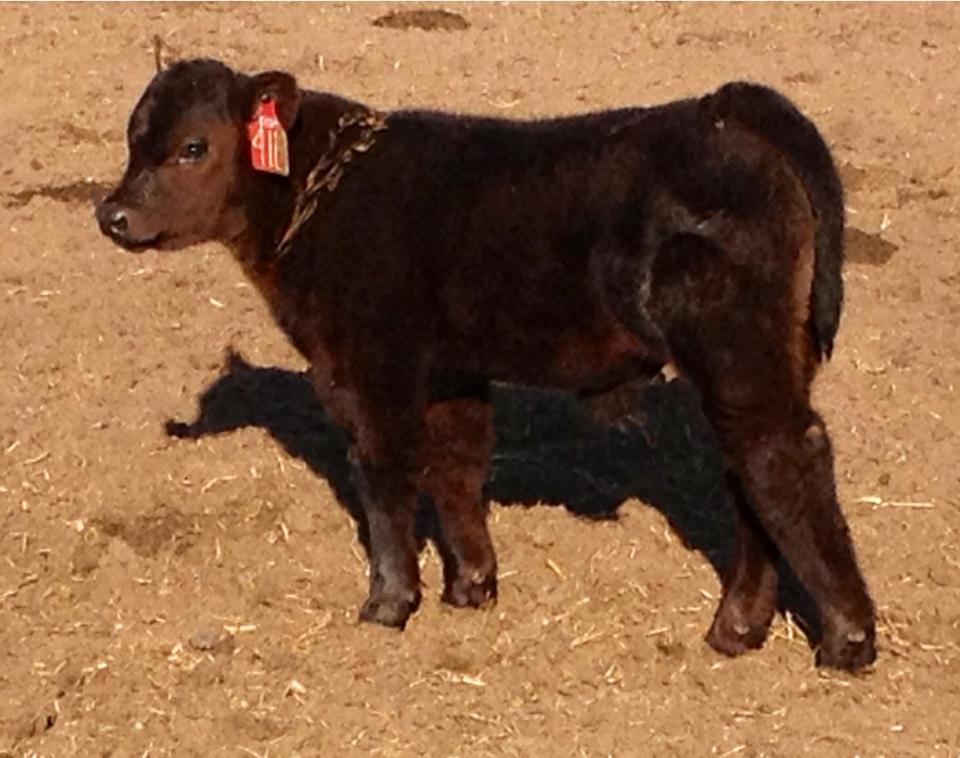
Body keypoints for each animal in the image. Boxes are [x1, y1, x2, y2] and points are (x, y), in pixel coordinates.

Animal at [96, 58, 876, 671]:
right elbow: (458, 467)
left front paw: (389, 603)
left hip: (739, 357)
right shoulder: (450, 375)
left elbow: (385, 477)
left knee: (784, 462)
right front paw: (471, 586)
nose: (113, 216)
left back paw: (846, 639)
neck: (322, 195)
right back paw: (738, 628)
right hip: (756, 366)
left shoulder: (373, 371)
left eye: (193, 146)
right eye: (134, 139)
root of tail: (718, 109)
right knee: (751, 474)